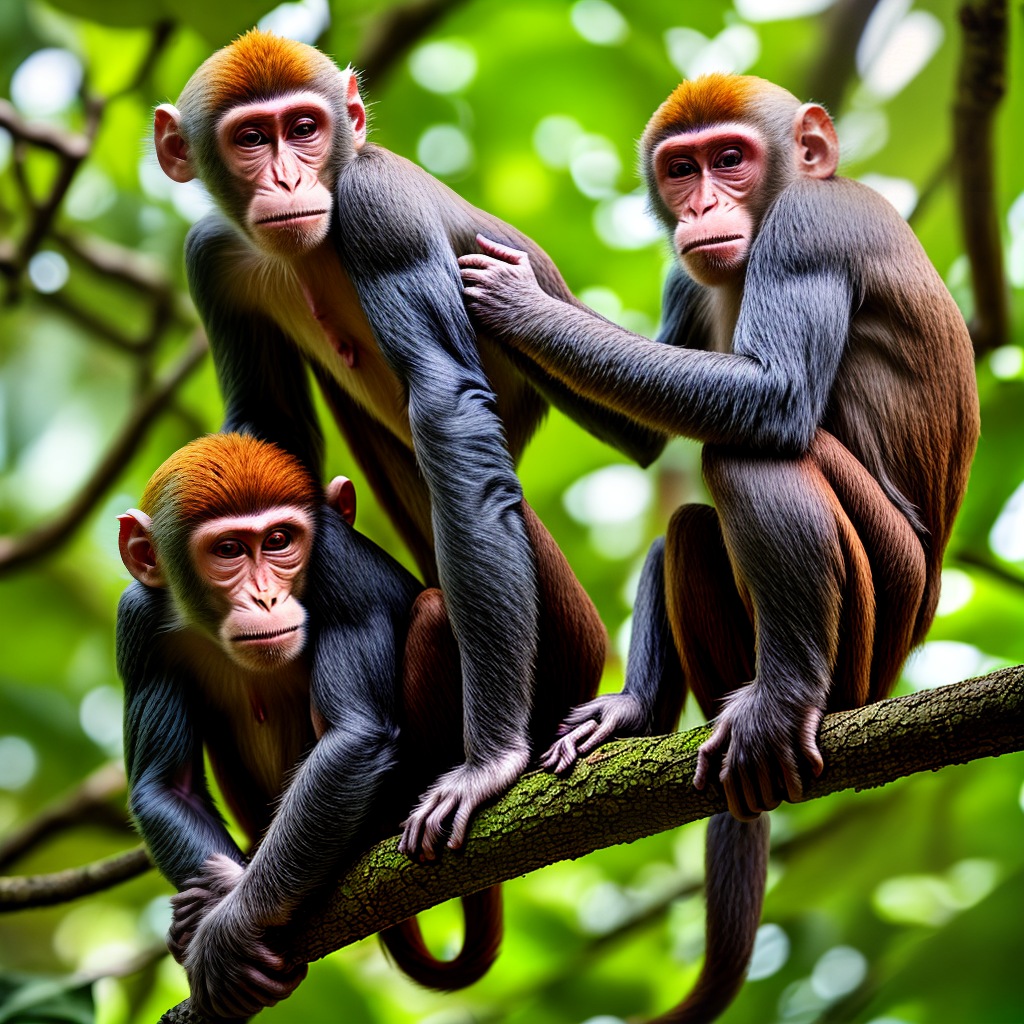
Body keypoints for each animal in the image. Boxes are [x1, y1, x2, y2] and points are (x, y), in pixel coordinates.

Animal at [117, 432, 604, 1018]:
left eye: (278, 541)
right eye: (229, 549)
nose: (265, 597)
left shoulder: (337, 568)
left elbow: (355, 734)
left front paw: (229, 923)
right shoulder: (138, 623)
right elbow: (167, 785)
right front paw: (215, 895)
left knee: (431, 612)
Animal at [151, 30, 658, 860]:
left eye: (304, 127)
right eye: (252, 138)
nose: (287, 178)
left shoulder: (378, 208)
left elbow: (447, 405)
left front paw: (489, 764)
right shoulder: (212, 255)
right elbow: (267, 428)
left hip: (567, 641)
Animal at [457, 74, 979, 1023]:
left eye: (730, 158)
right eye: (682, 168)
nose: (702, 205)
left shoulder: (812, 225)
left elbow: (769, 401)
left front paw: (523, 303)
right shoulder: (684, 274)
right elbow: (640, 435)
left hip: (877, 615)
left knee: (746, 452)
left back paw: (784, 701)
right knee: (691, 529)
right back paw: (672, 713)